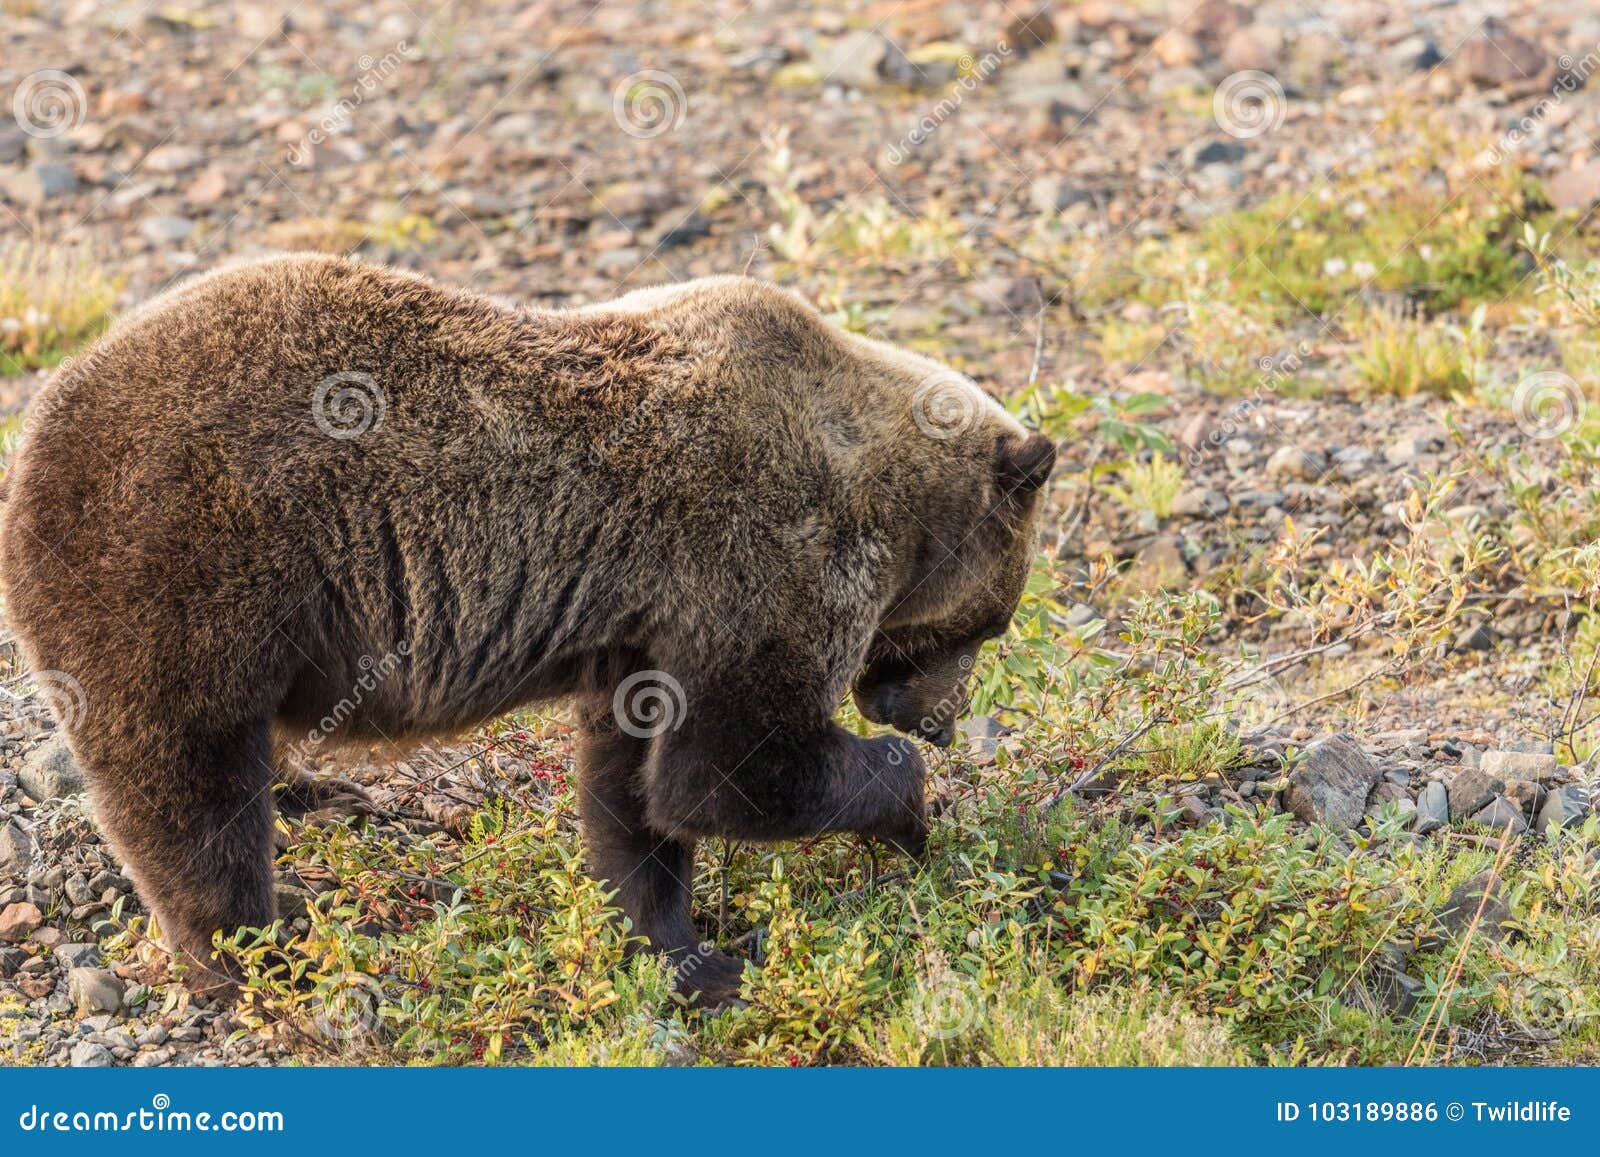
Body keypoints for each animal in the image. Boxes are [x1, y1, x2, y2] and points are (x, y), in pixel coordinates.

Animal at [0, 254, 1055, 1005]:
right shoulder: (762, 564)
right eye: (992, 623)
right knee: (187, 781)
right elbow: (731, 768)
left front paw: (682, 948)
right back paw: (267, 948)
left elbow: (639, 794)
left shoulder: (647, 636)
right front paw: (907, 811)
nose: (938, 722)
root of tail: (43, 420)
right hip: (186, 565)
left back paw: (323, 798)